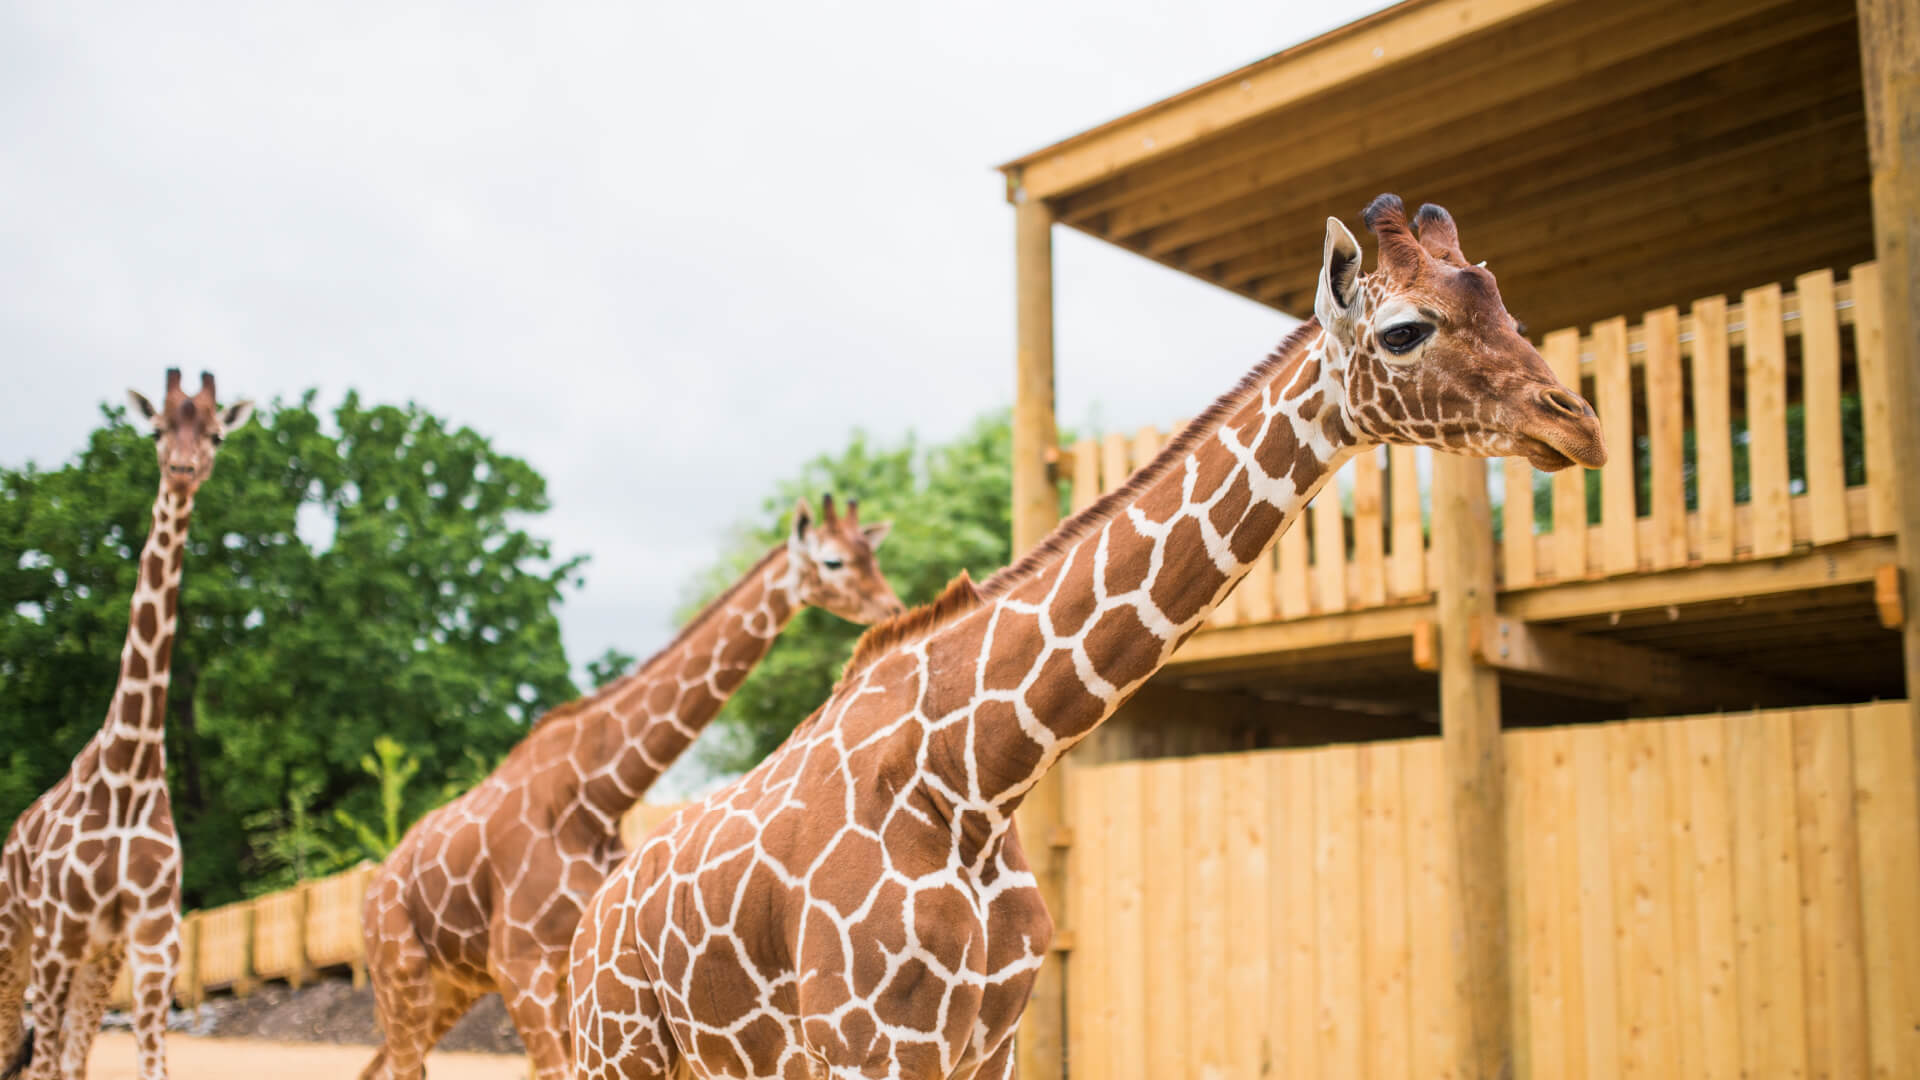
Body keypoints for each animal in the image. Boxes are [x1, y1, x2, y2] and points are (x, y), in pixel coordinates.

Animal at [0, 370, 254, 1080]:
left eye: (216, 433)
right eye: (158, 428)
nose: (183, 470)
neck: (131, 769)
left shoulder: (152, 944)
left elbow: (147, 1064)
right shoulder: (58, 940)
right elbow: (43, 1063)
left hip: (96, 959)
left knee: (68, 1057)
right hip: (17, 940)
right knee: (21, 1048)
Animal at [358, 494, 905, 1080]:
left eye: (872, 555)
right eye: (833, 561)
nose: (892, 607)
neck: (597, 795)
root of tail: (373, 885)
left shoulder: (567, 967)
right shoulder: (519, 965)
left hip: (449, 987)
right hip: (401, 974)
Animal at [566, 195, 1609, 1080]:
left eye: (1506, 304)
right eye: (1404, 330)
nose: (1581, 426)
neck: (980, 778)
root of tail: (589, 922)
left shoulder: (989, 1045)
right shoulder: (873, 1046)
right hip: (615, 1048)